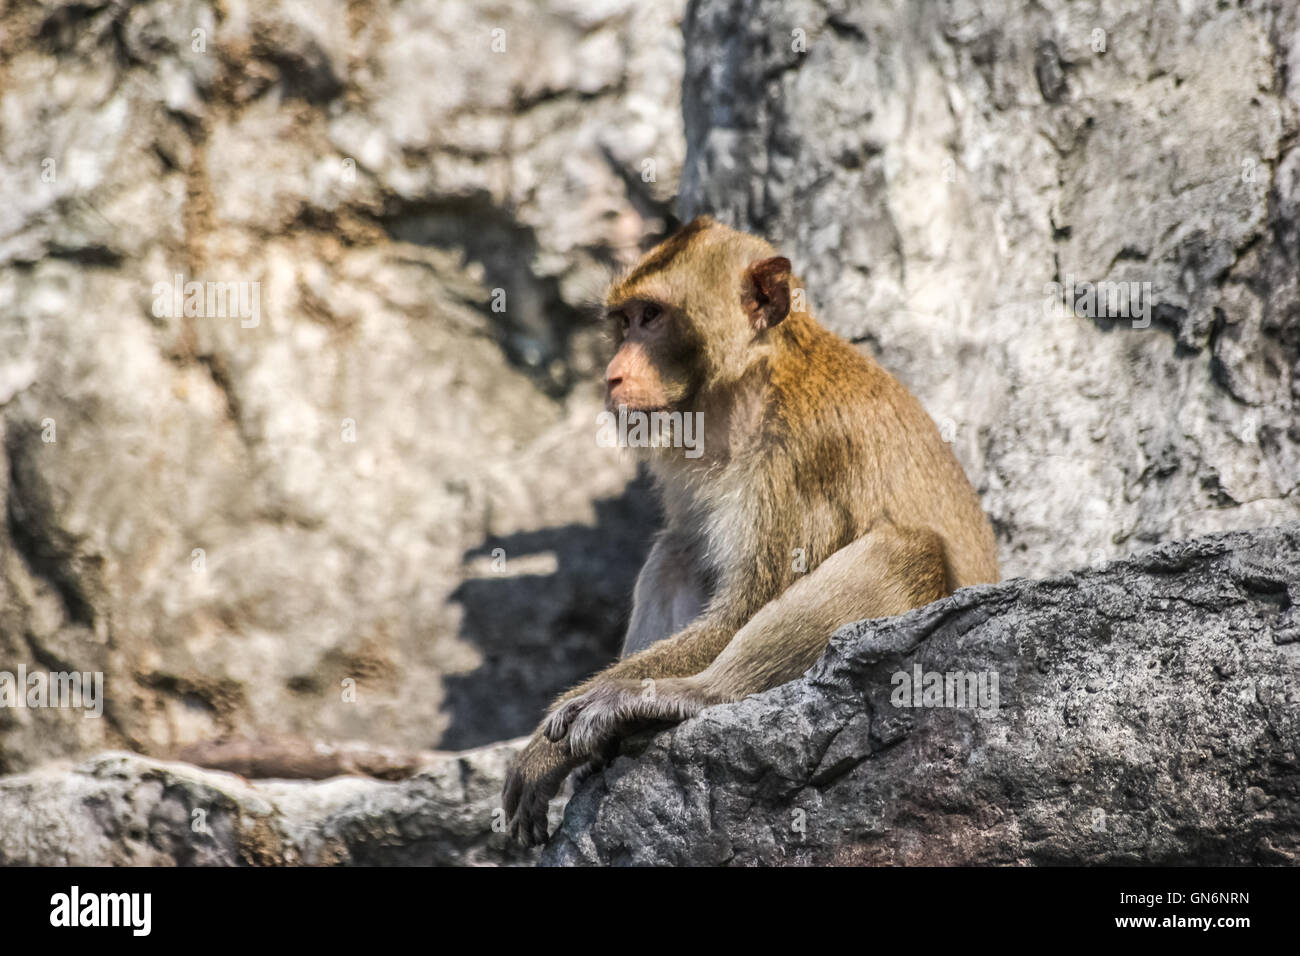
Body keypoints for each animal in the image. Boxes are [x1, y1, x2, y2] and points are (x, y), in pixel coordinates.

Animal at [502, 215, 999, 846]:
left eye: (653, 316)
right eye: (625, 321)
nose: (612, 375)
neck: (749, 389)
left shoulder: (806, 454)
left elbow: (743, 610)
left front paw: (552, 744)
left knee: (907, 551)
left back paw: (690, 696)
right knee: (677, 550)